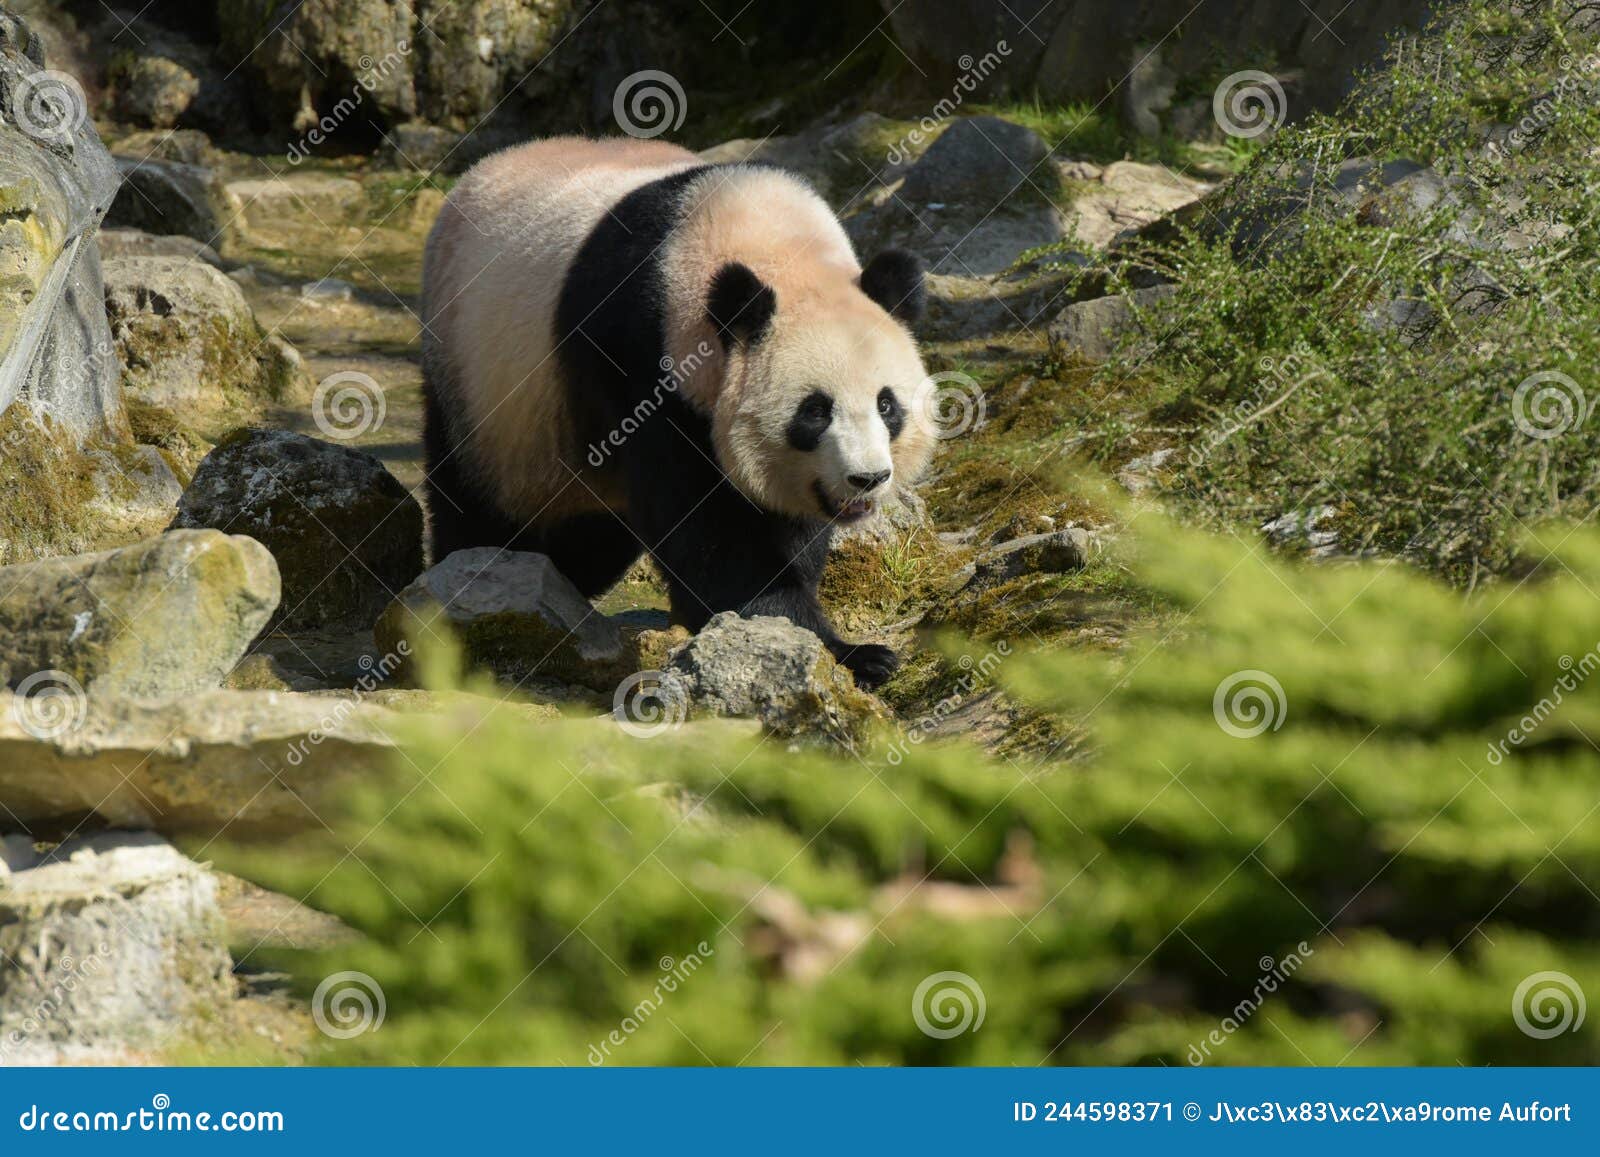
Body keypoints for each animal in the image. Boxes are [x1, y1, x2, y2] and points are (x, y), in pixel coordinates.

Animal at [419, 137, 936, 687]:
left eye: (887, 404)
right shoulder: (642, 356)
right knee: (477, 497)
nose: (868, 478)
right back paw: (482, 569)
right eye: (815, 412)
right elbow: (703, 527)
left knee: (591, 530)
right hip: (475, 375)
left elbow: (786, 519)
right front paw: (843, 649)